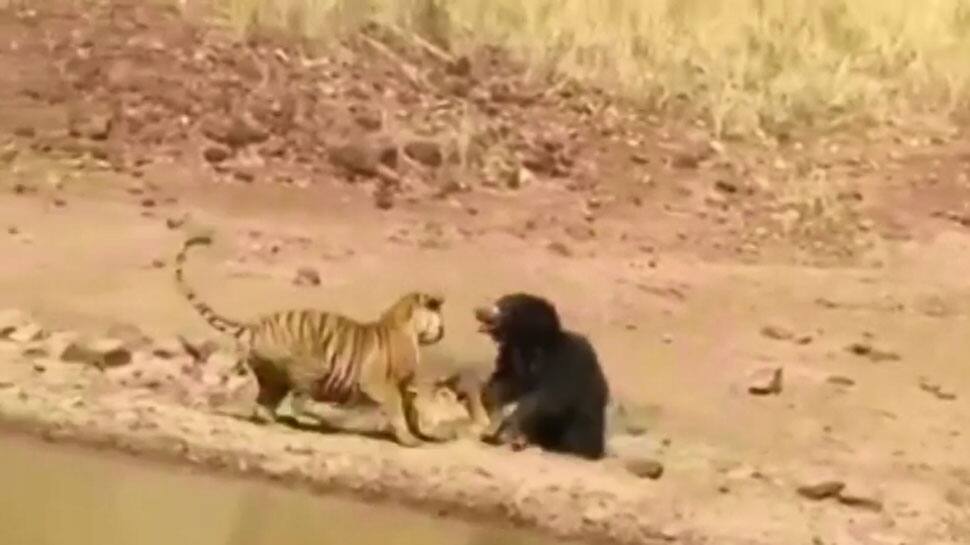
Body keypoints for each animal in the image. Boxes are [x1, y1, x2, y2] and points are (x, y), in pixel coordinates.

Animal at [173, 232, 448, 448]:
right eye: (440, 317)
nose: (443, 332)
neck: (409, 326)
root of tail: (257, 325)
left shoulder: (403, 386)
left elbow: (411, 409)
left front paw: (421, 434)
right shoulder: (380, 384)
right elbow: (397, 410)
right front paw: (409, 439)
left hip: (273, 376)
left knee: (265, 404)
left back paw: (278, 422)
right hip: (312, 368)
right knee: (299, 403)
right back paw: (321, 419)